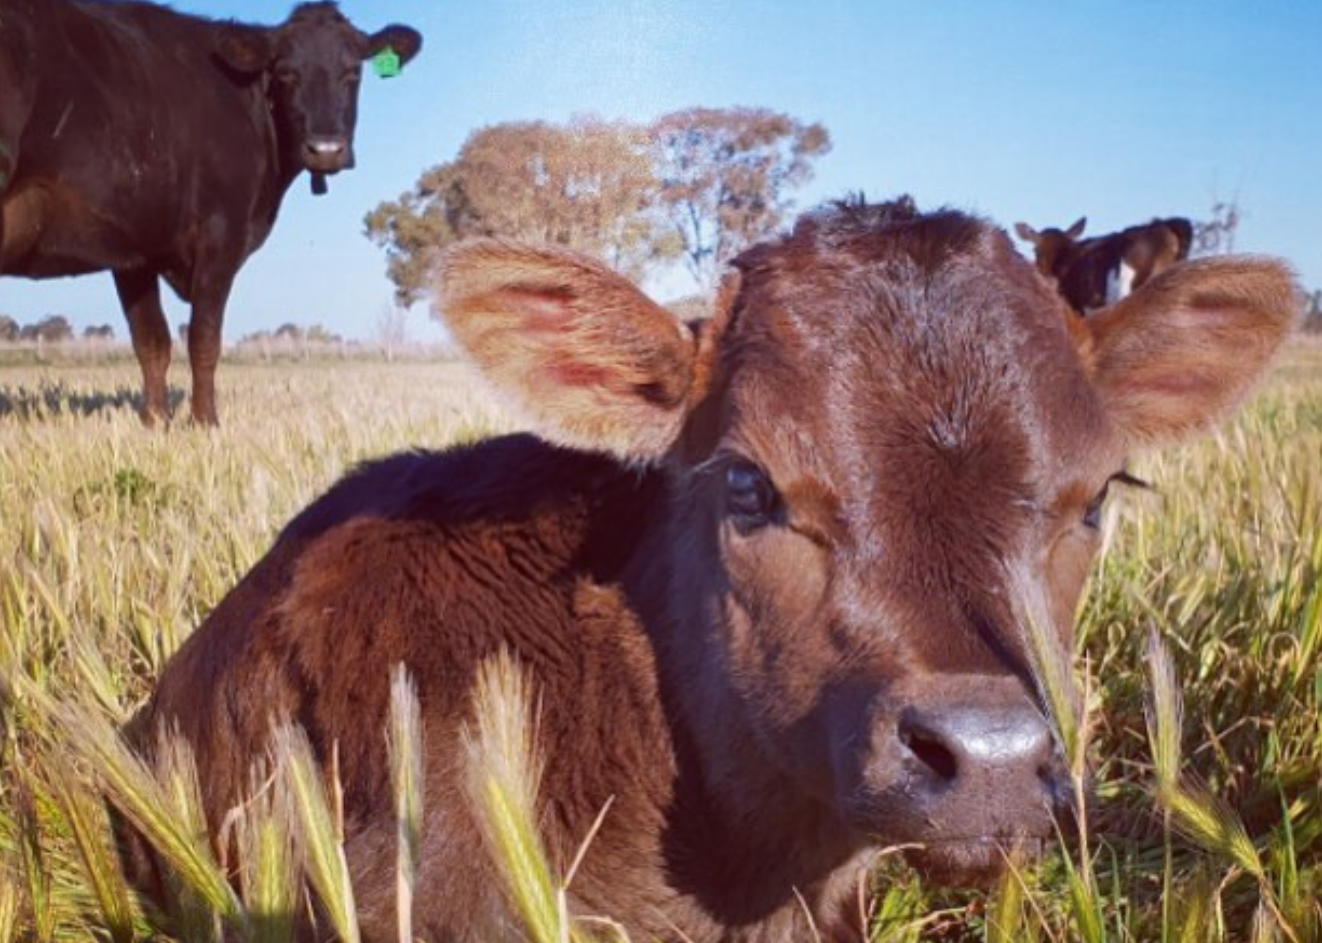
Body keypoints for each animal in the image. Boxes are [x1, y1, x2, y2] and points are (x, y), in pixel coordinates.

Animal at [0, 0, 421, 424]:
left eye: (353, 72)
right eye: (286, 72)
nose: (326, 149)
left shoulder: (134, 246)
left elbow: (151, 341)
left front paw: (156, 421)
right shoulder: (222, 232)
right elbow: (203, 337)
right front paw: (205, 422)